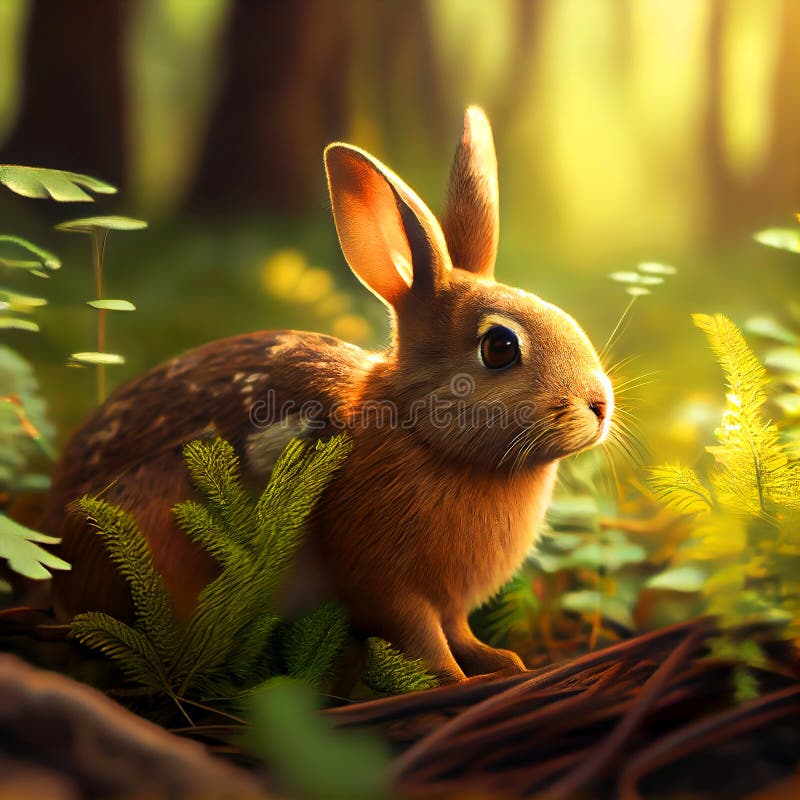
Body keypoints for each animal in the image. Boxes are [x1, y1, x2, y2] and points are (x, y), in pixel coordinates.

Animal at [44, 106, 613, 682]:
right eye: (499, 347)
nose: (599, 405)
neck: (418, 430)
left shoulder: (448, 601)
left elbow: (458, 631)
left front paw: (502, 662)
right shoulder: (385, 583)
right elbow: (421, 638)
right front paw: (452, 680)